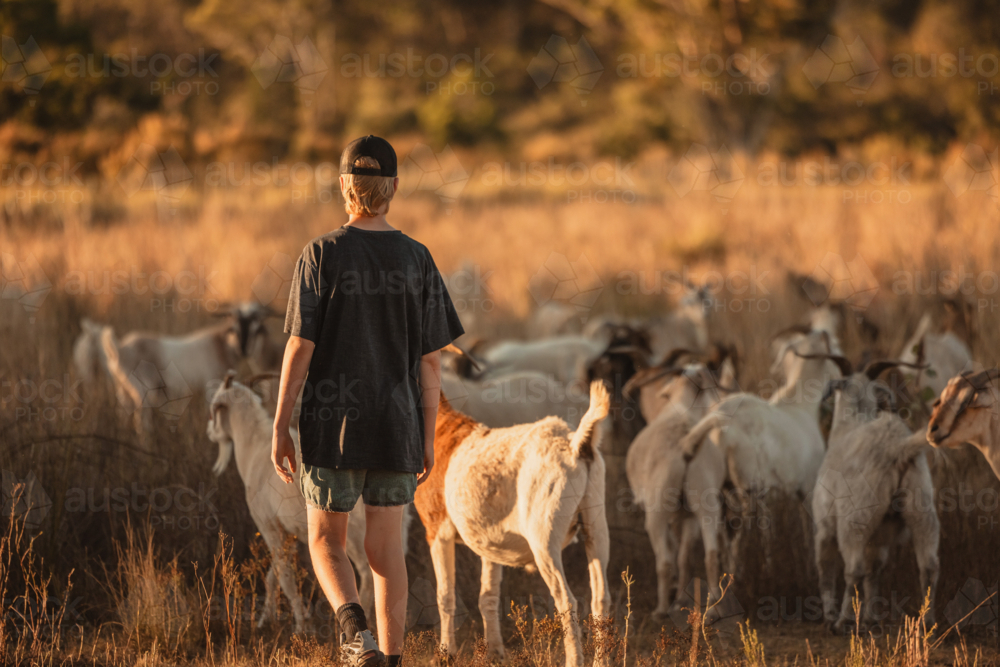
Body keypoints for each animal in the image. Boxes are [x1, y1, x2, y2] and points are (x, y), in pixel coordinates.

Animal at [413, 380, 612, 667]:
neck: (441, 426)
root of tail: (576, 444)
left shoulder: (437, 530)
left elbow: (445, 595)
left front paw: (445, 653)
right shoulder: (489, 542)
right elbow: (488, 596)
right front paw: (495, 653)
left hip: (544, 539)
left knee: (567, 600)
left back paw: (574, 660)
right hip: (596, 524)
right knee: (600, 598)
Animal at [624, 351, 738, 619]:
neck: (682, 409)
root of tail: (686, 442)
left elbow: (674, 553)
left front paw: (674, 600)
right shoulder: (689, 516)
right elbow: (685, 556)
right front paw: (680, 600)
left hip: (656, 511)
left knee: (664, 560)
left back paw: (661, 610)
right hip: (706, 503)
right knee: (710, 555)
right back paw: (713, 607)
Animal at [807, 356, 939, 632]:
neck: (849, 425)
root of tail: (898, 447)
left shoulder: (825, 526)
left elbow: (826, 569)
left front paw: (830, 616)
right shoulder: (880, 537)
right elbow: (874, 572)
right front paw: (870, 619)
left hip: (854, 519)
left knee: (853, 569)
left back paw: (842, 622)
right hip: (922, 510)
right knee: (929, 566)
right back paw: (927, 623)